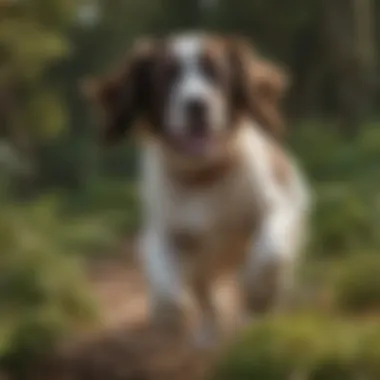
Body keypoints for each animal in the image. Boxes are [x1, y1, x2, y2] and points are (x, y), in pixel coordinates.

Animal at [87, 32, 312, 346]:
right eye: (167, 78)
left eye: (215, 73)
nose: (196, 105)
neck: (204, 177)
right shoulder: (162, 231)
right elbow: (164, 281)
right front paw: (171, 317)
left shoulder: (279, 207)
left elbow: (271, 252)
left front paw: (258, 296)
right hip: (201, 266)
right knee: (203, 293)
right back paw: (208, 333)